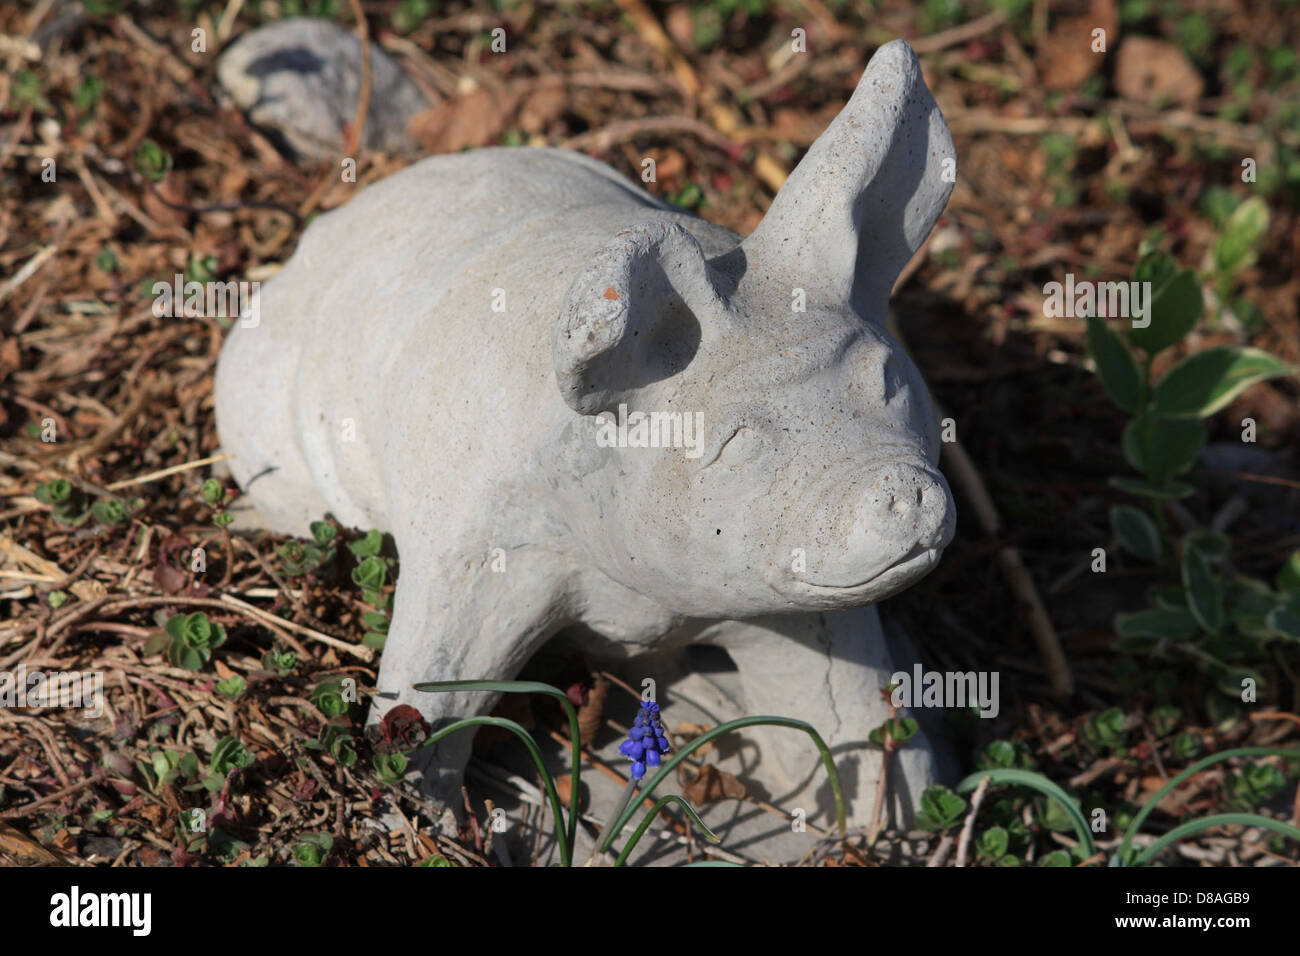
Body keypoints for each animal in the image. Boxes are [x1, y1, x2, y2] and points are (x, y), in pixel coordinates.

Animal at [214, 39, 958, 827]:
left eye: (887, 379)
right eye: (737, 442)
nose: (899, 484)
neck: (645, 599)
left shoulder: (801, 611)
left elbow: (847, 705)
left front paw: (906, 814)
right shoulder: (473, 553)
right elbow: (436, 689)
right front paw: (423, 820)